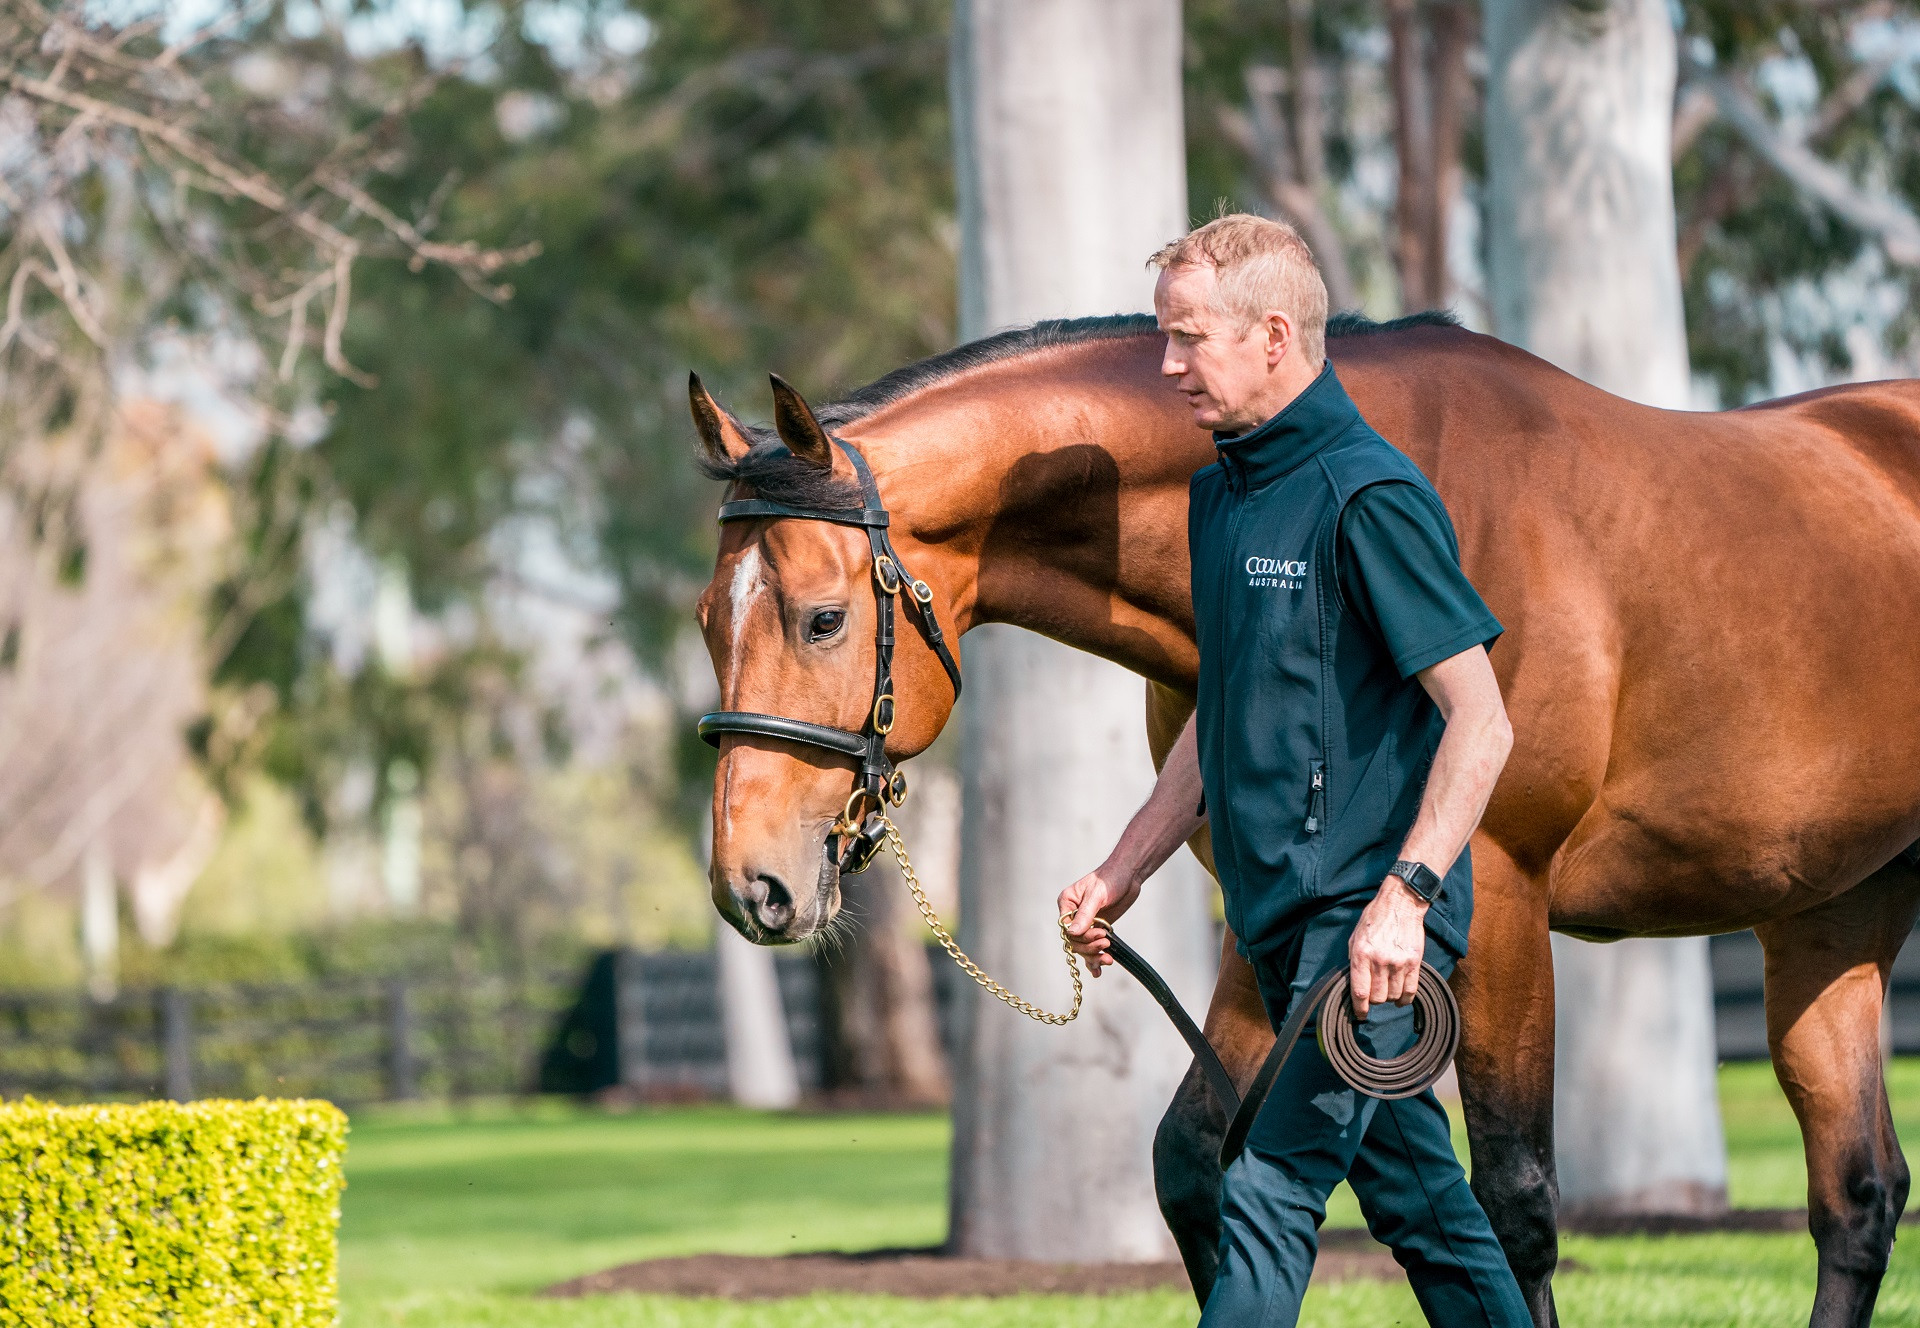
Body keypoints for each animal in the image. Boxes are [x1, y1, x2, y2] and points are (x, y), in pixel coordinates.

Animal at [692, 311, 1920, 1328]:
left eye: (821, 617)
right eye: (708, 617)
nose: (752, 885)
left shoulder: (1499, 896)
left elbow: (1514, 1203)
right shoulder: (1271, 914)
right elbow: (1201, 1157)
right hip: (1829, 914)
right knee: (1858, 1196)